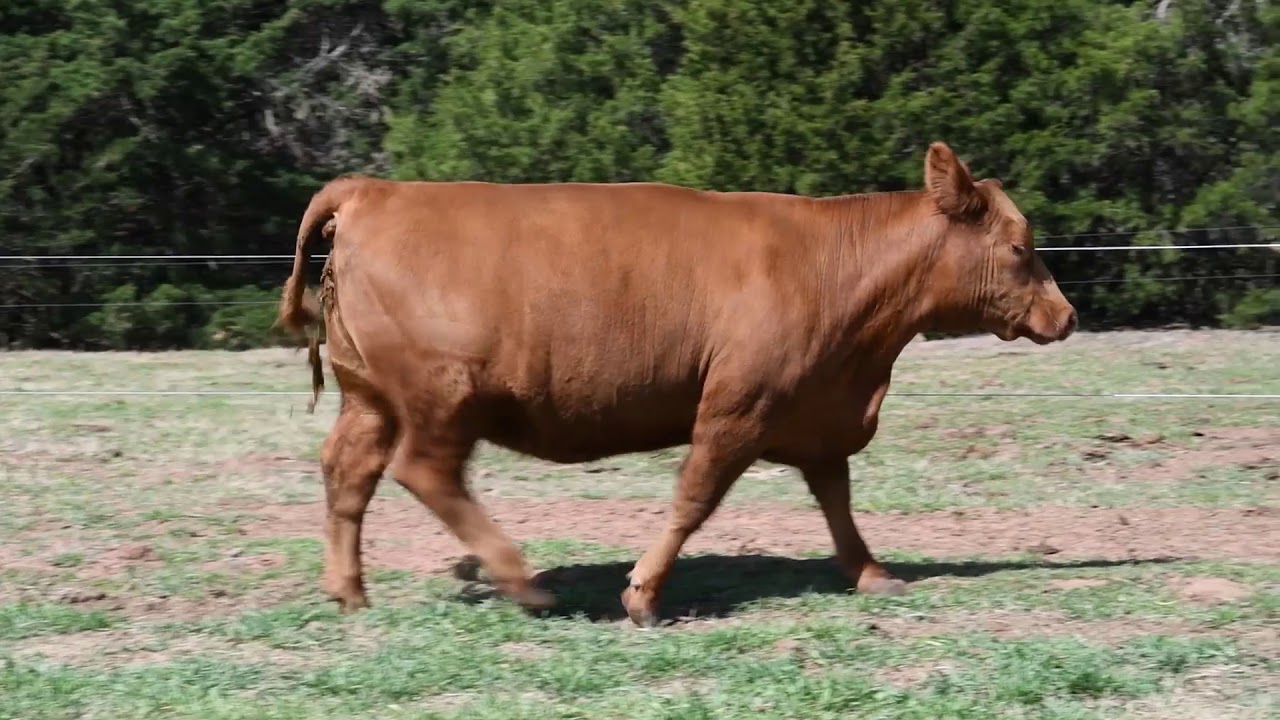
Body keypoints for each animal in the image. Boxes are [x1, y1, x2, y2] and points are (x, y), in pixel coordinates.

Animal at [276, 141, 1077, 627]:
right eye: (1020, 246)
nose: (1065, 315)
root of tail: (376, 191)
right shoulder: (737, 408)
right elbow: (695, 497)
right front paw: (642, 593)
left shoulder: (817, 412)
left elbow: (836, 501)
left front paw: (872, 572)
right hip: (441, 395)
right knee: (425, 470)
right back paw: (525, 581)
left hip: (369, 396)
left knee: (348, 472)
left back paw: (349, 590)